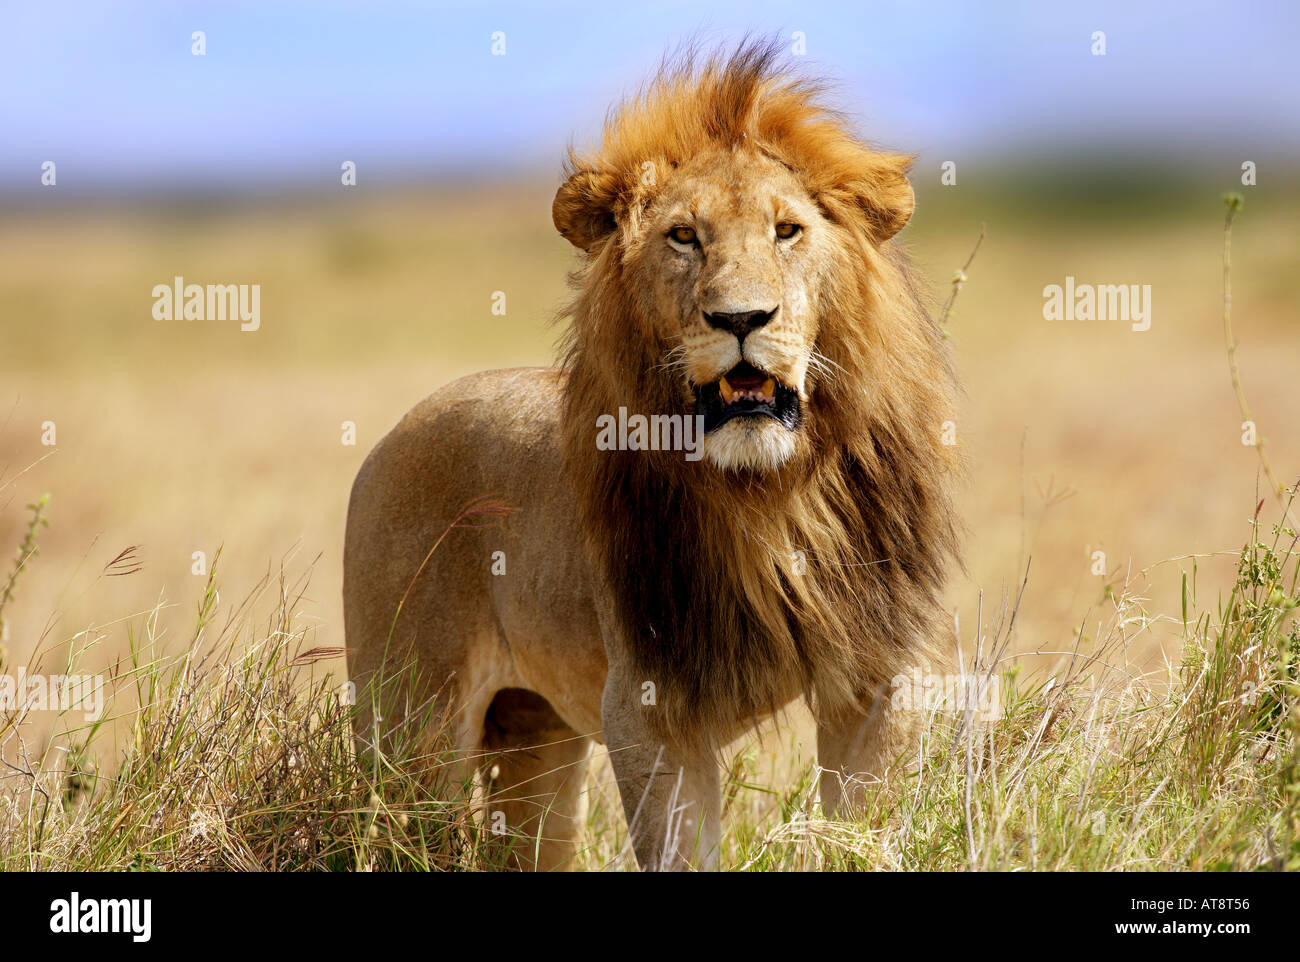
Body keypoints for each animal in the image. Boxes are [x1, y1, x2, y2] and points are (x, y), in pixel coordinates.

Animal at [343, 41, 960, 871]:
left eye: (787, 231)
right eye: (684, 237)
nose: (741, 319)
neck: (770, 496)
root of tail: (395, 432)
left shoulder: (880, 679)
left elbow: (861, 833)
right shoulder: (650, 708)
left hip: (534, 739)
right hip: (413, 731)